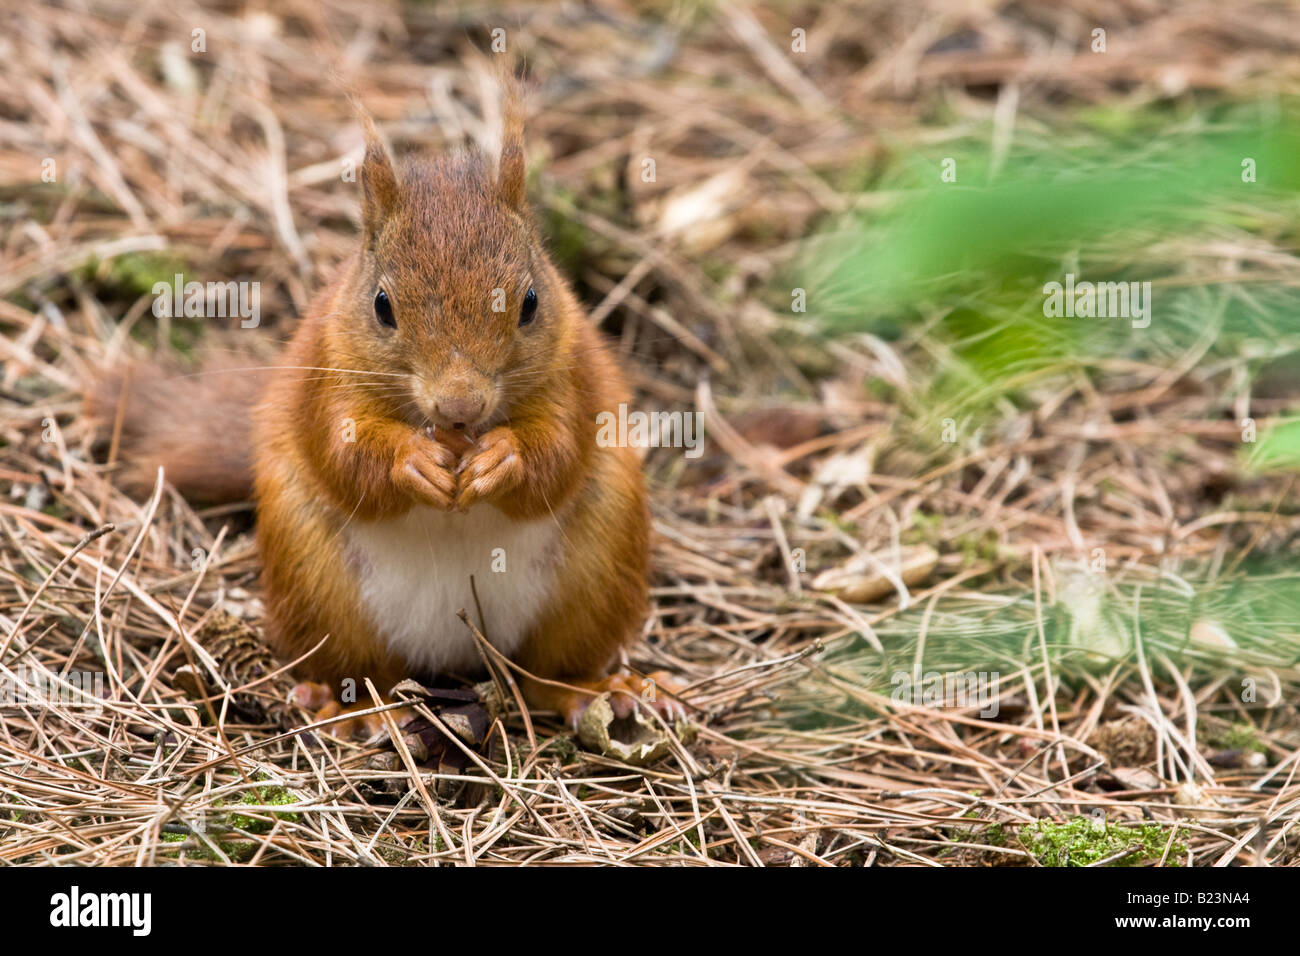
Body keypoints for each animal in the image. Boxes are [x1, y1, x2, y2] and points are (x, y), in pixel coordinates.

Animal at [87, 86, 684, 738]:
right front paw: (411, 462)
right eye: (381, 306)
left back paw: (601, 691)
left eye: (530, 303)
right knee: (361, 666)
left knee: (547, 677)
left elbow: (559, 451)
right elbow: (344, 454)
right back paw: (353, 710)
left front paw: (503, 458)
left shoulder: (574, 377)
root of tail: (458, 650)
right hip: (316, 581)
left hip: (597, 568)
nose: (459, 405)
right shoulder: (326, 377)